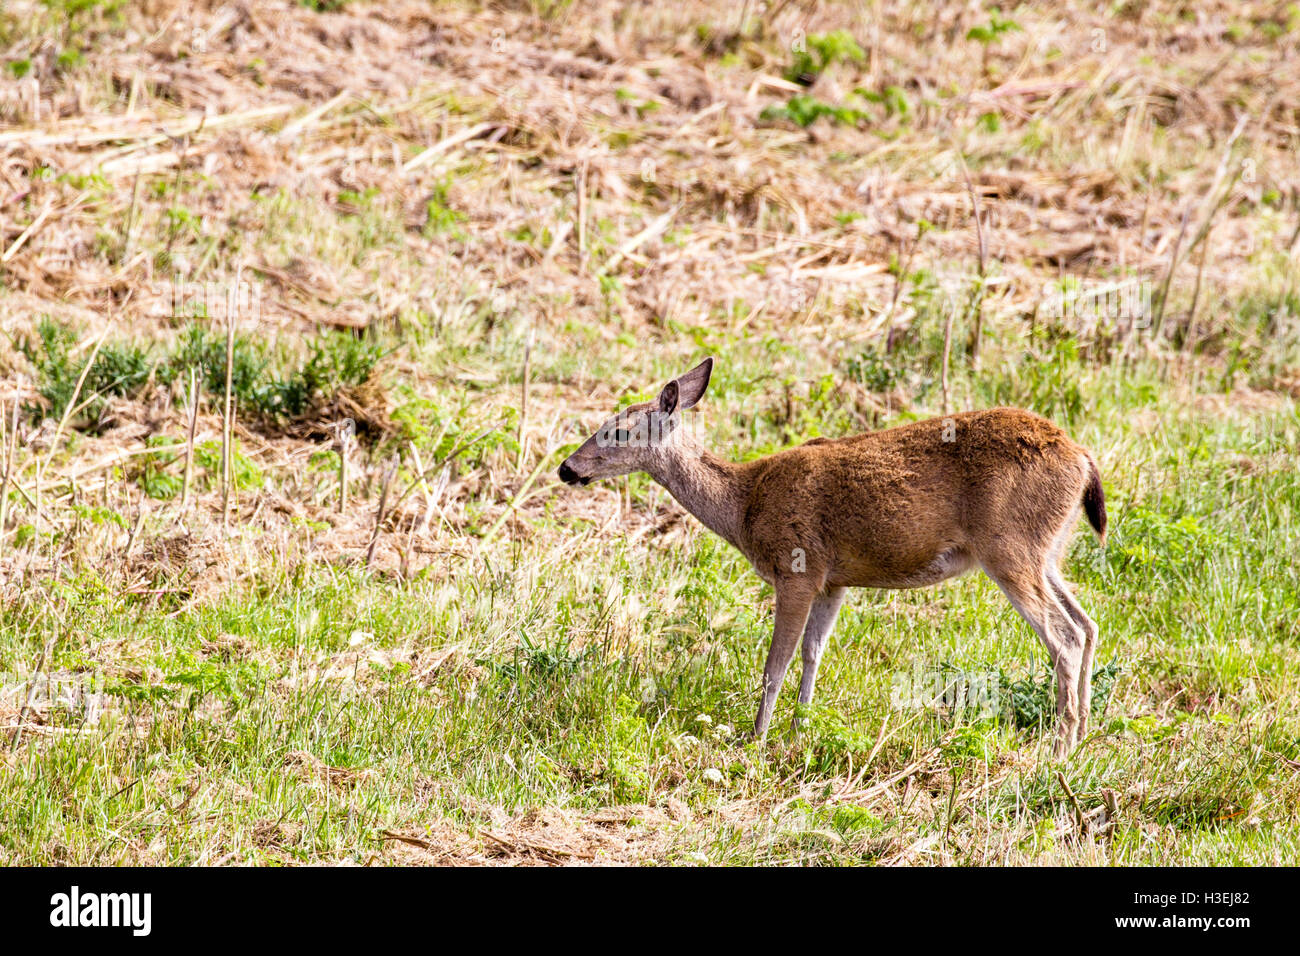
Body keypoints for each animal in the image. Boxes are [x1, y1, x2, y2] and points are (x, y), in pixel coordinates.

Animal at [558, 357, 1107, 758]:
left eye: (618, 431)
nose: (567, 468)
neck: (744, 505)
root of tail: (1084, 459)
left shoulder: (796, 566)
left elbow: (775, 661)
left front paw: (756, 738)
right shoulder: (834, 580)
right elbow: (812, 654)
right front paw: (799, 731)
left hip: (1009, 547)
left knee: (1064, 636)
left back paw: (1059, 747)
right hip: (1047, 551)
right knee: (1088, 623)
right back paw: (1083, 737)